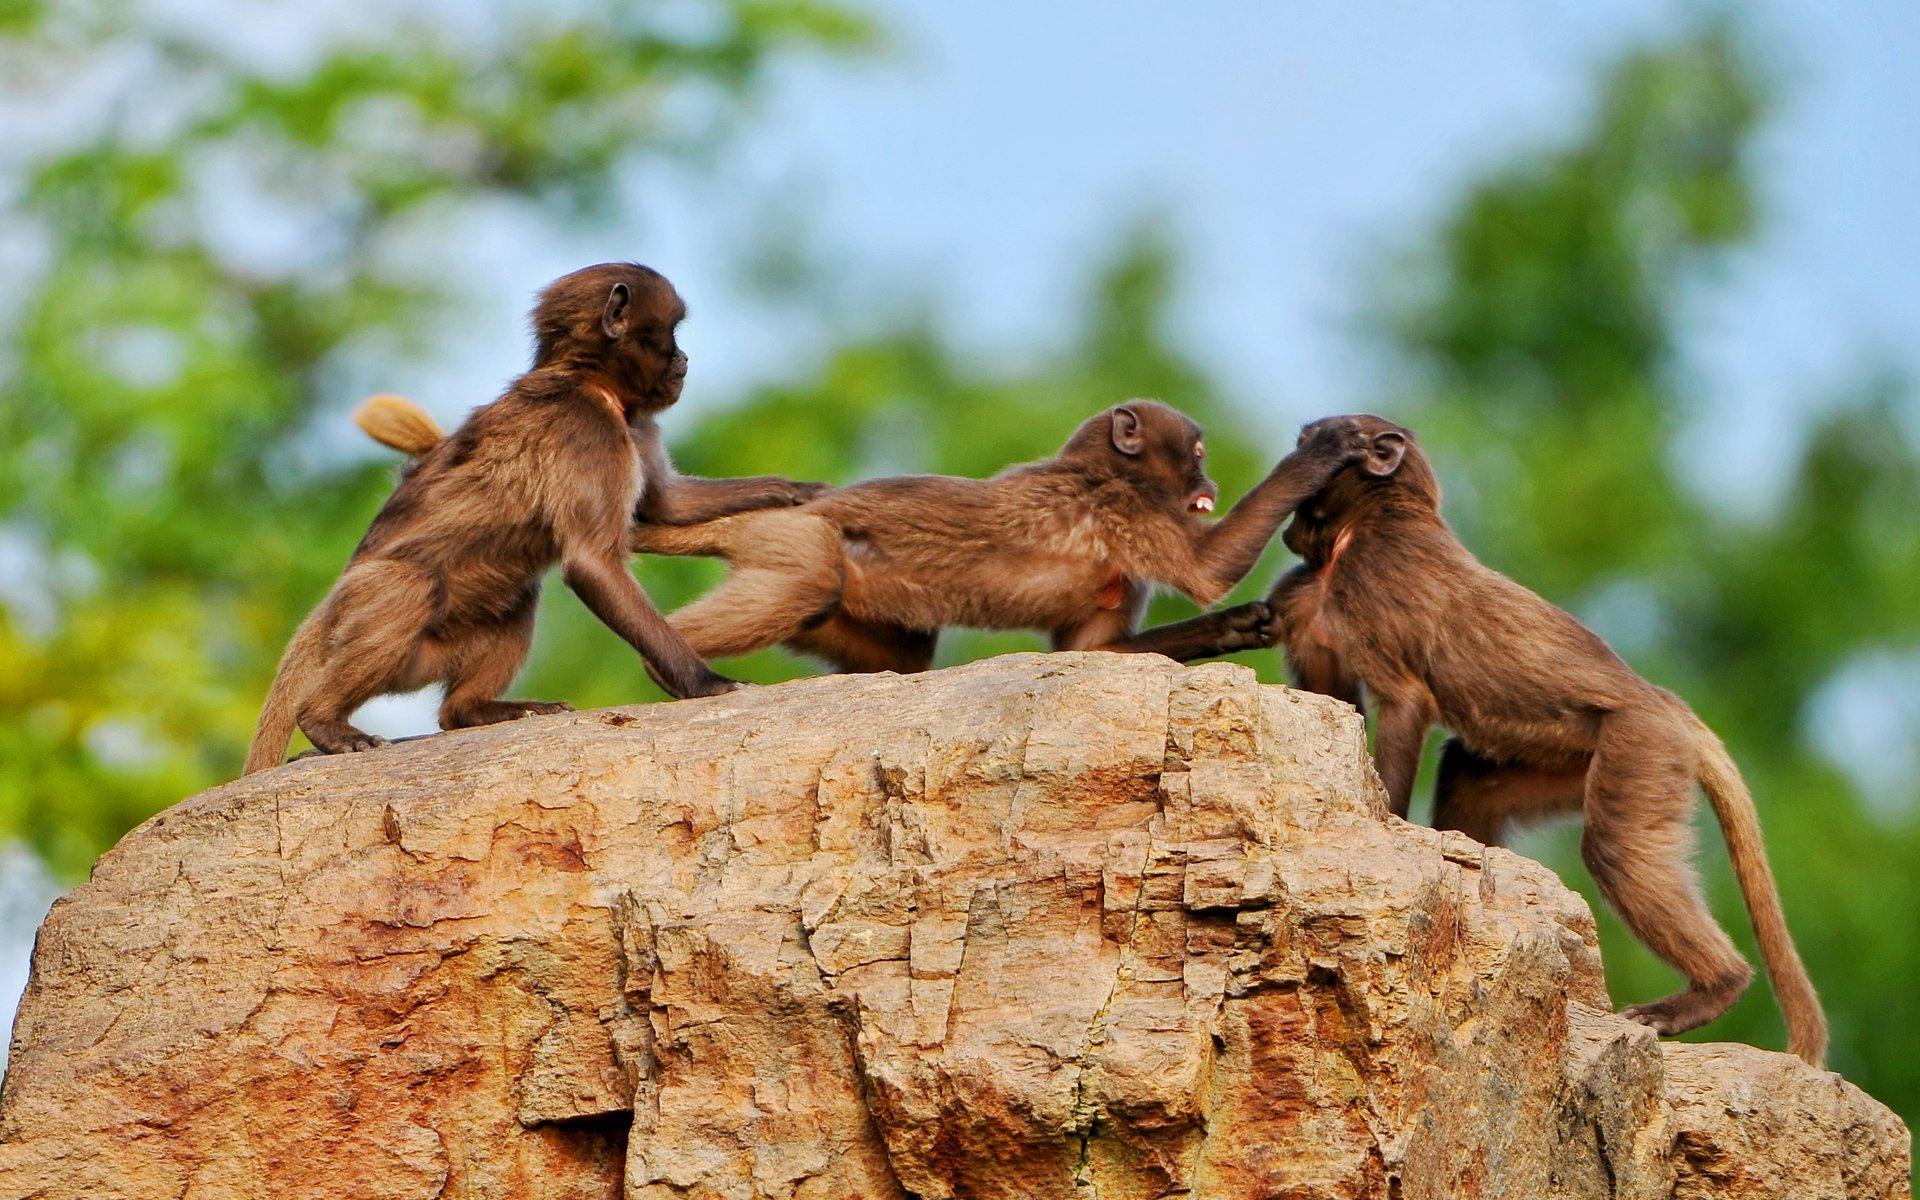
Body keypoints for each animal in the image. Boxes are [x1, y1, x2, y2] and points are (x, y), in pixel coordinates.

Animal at [245, 263, 778, 775]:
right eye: (671, 331)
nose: (684, 360)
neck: (587, 380)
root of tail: (330, 610)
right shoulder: (588, 430)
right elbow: (592, 563)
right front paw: (707, 684)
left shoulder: (633, 423)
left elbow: (666, 503)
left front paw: (789, 491)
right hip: (385, 632)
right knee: (410, 586)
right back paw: (324, 722)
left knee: (515, 601)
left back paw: (473, 710)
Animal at [1224, 414, 1826, 1064]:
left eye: (1308, 441)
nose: (1290, 517)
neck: (1381, 514)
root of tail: (1663, 701)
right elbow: (1335, 702)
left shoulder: (1371, 577)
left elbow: (1406, 702)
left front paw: (1390, 823)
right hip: (1573, 755)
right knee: (1471, 779)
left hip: (1640, 744)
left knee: (1615, 850)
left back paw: (1714, 989)